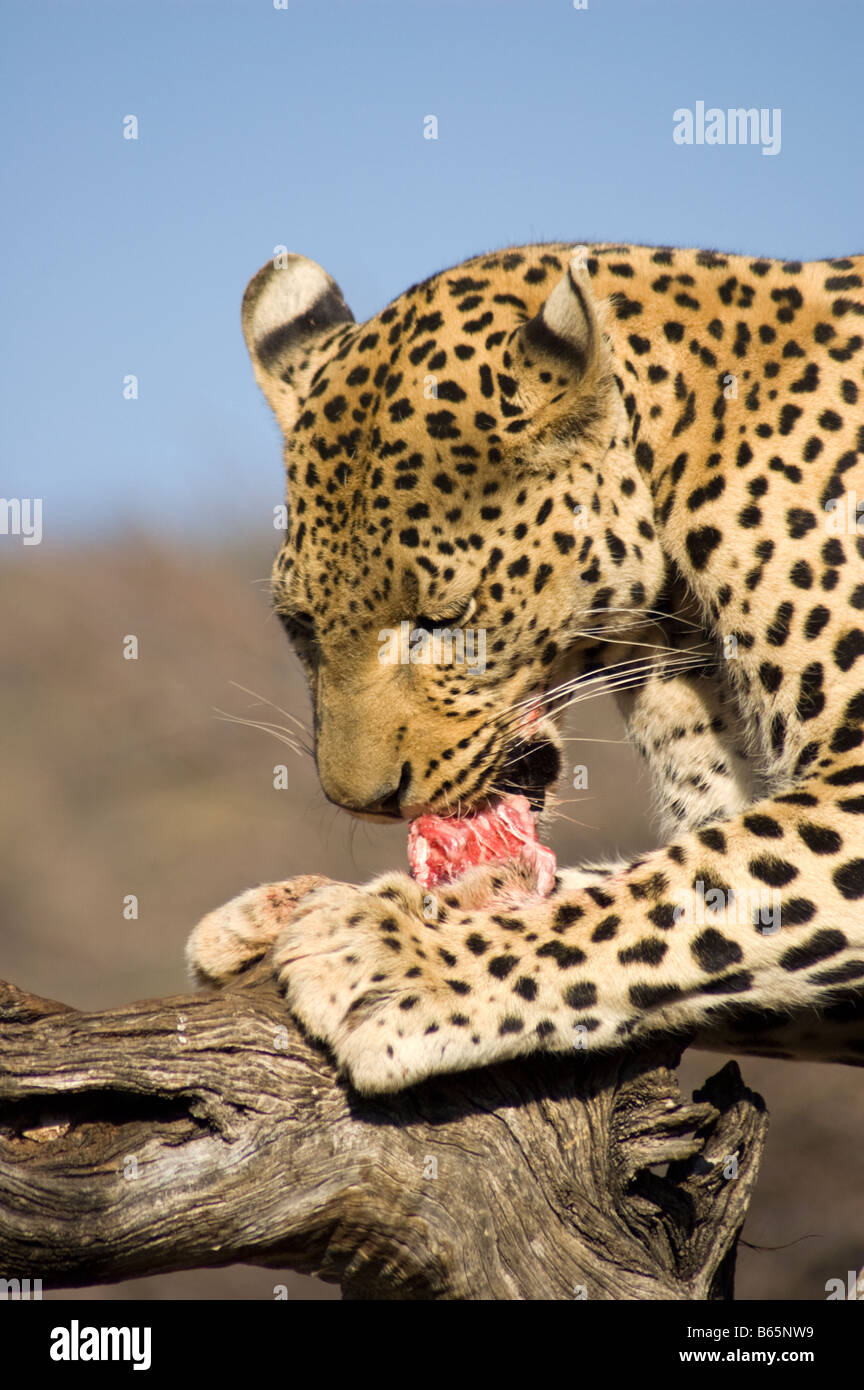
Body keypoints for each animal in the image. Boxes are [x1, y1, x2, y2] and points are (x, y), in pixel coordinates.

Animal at [187, 240, 864, 1095]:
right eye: (300, 625)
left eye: (444, 623)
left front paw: (396, 960)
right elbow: (627, 880)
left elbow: (671, 897)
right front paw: (287, 908)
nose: (363, 803)